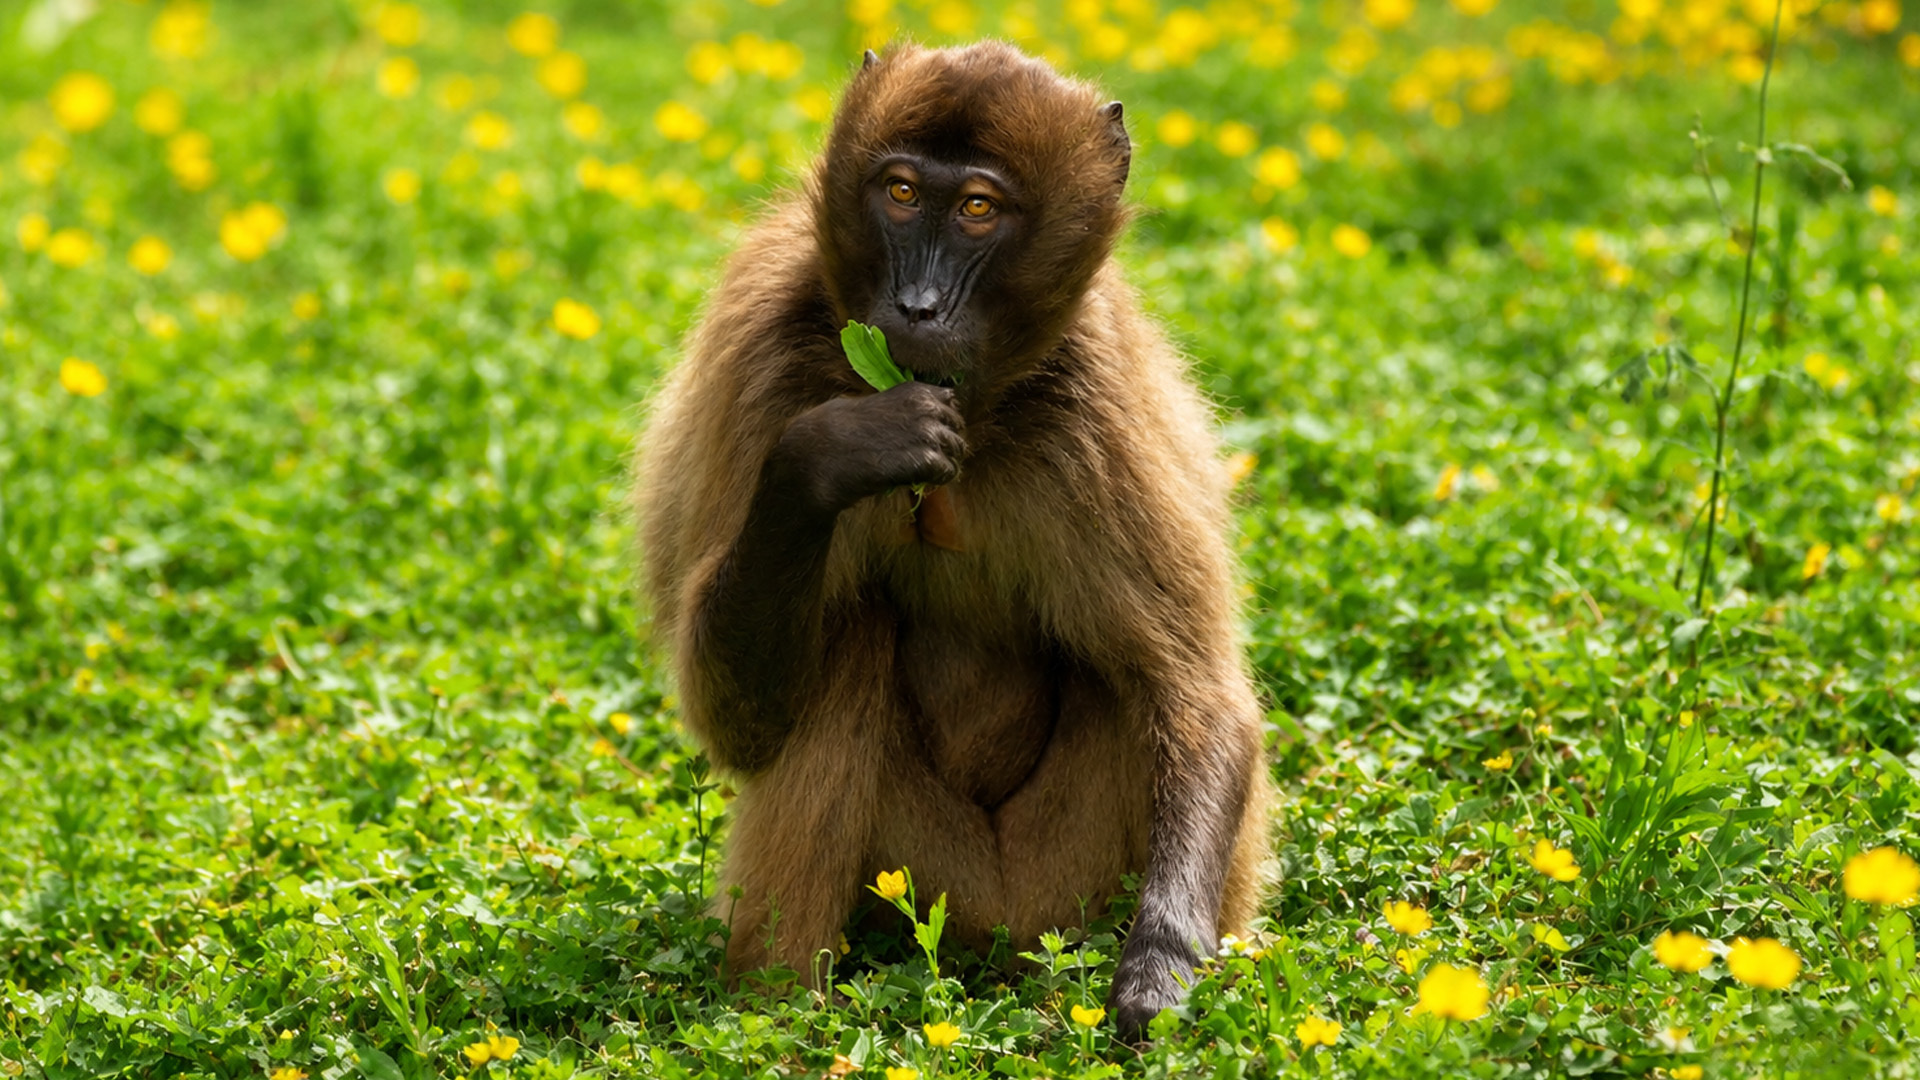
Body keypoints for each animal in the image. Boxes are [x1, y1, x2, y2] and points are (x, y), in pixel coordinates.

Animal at [635, 41, 1271, 1035]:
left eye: (977, 209)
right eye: (900, 193)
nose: (919, 305)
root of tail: (1000, 937)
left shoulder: (1098, 396)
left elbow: (1199, 698)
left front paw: (1161, 968)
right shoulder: (761, 354)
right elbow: (736, 725)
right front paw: (831, 455)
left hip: (1061, 882)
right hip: (932, 879)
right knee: (849, 644)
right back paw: (782, 1016)